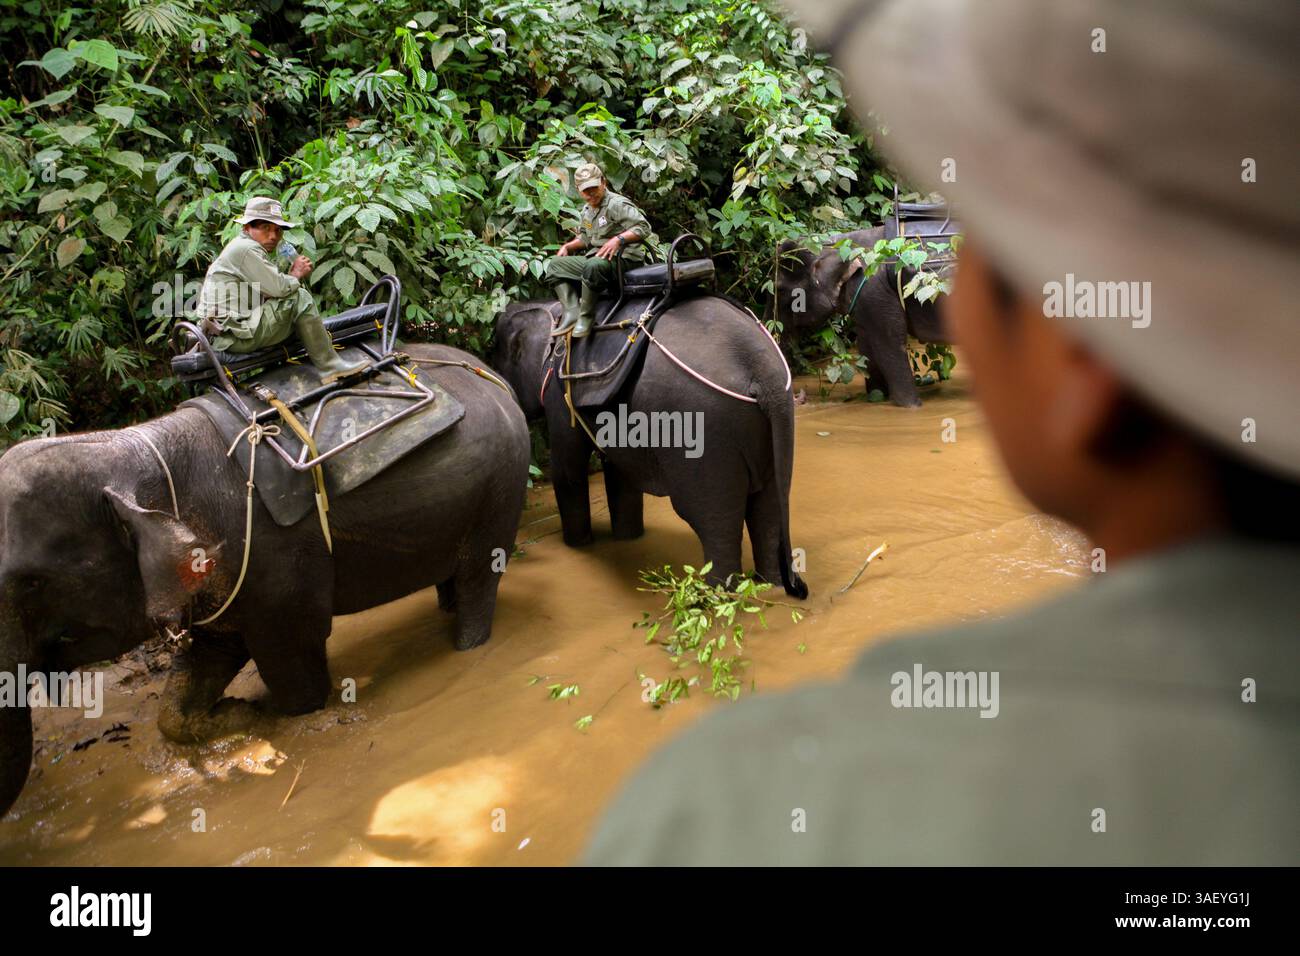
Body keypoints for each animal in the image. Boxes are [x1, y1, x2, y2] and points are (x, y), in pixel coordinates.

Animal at [0, 343, 529, 817]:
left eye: (31, 582)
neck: (135, 449)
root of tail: (488, 371)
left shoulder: (278, 565)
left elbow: (295, 671)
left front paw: (270, 714)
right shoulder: (226, 582)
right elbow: (202, 668)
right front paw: (239, 714)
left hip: (500, 491)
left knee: (479, 580)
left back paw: (468, 645)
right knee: (452, 579)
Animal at [492, 295, 808, 600]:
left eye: (496, 352)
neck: (553, 310)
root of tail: (763, 373)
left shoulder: (560, 390)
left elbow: (568, 468)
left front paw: (578, 546)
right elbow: (619, 472)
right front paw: (628, 539)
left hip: (708, 432)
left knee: (715, 521)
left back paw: (715, 597)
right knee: (767, 510)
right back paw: (770, 586)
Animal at [772, 227, 951, 408]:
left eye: (779, 289)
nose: (799, 395)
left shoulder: (875, 292)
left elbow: (889, 344)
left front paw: (911, 406)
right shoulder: (864, 302)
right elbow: (866, 346)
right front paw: (877, 397)